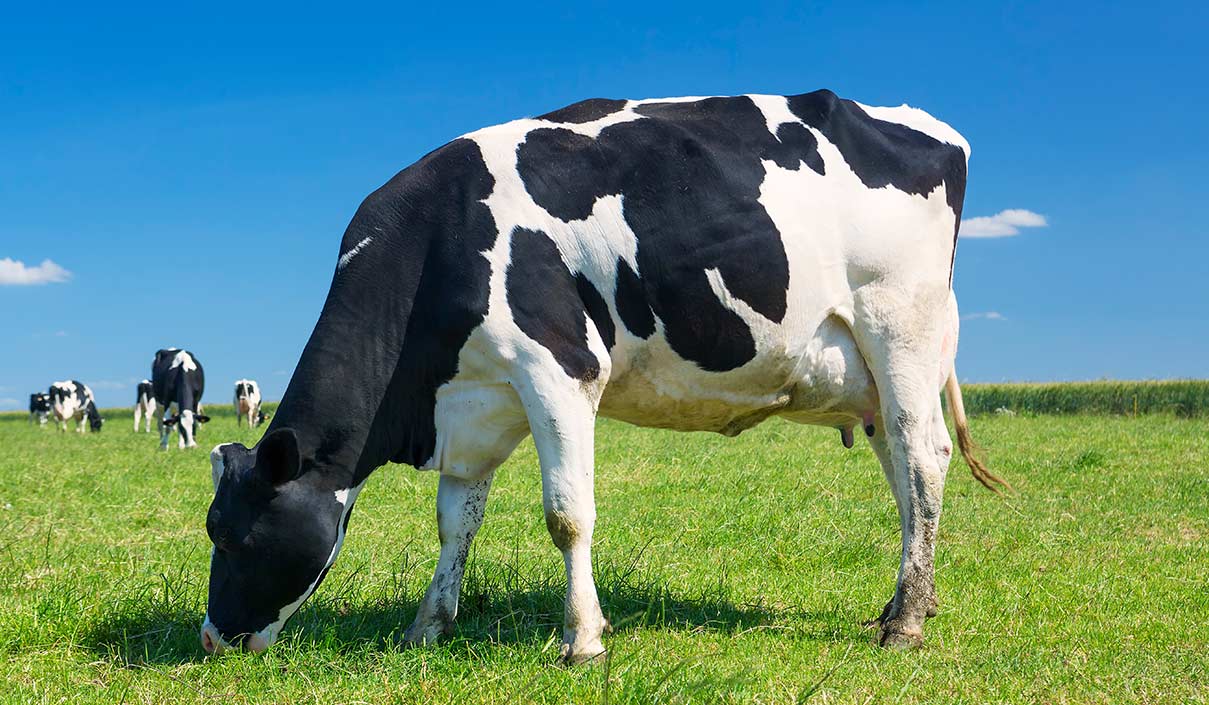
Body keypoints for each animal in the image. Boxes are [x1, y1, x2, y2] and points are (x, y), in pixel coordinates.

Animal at [202, 91, 1011, 660]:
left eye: (233, 536)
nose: (211, 638)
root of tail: (924, 125)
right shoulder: (474, 401)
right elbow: (454, 521)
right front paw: (428, 625)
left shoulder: (558, 371)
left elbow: (566, 515)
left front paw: (583, 639)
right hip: (870, 374)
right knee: (904, 475)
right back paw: (907, 602)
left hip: (899, 330)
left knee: (923, 458)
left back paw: (905, 623)